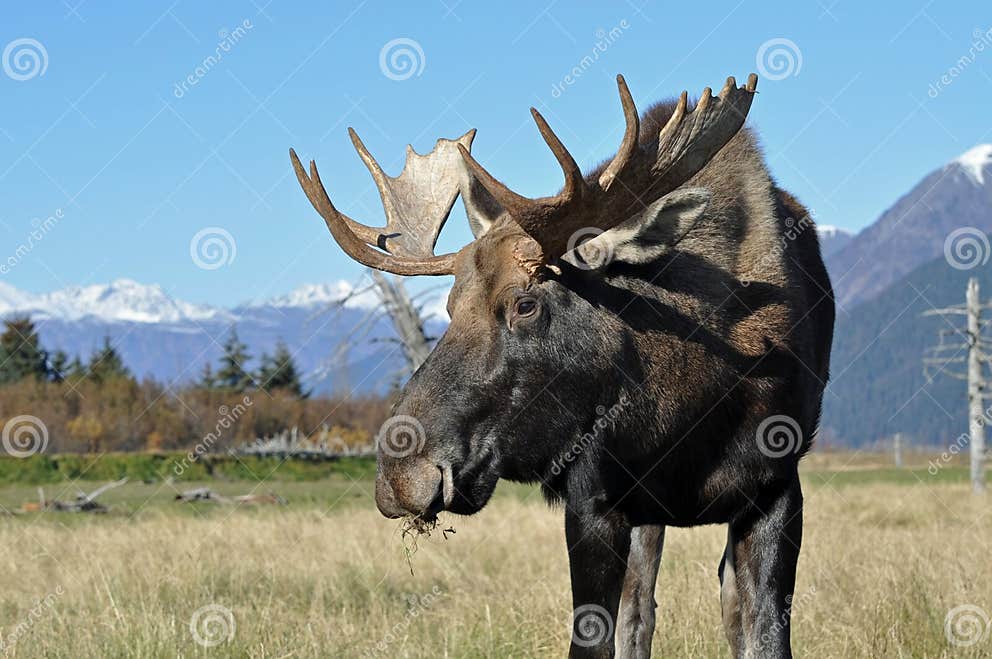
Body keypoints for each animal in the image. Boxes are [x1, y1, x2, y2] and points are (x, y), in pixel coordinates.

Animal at [290, 72, 834, 658]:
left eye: (525, 304)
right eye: (450, 305)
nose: (399, 473)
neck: (696, 408)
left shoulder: (777, 489)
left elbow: (764, 635)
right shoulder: (597, 500)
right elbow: (598, 636)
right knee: (639, 612)